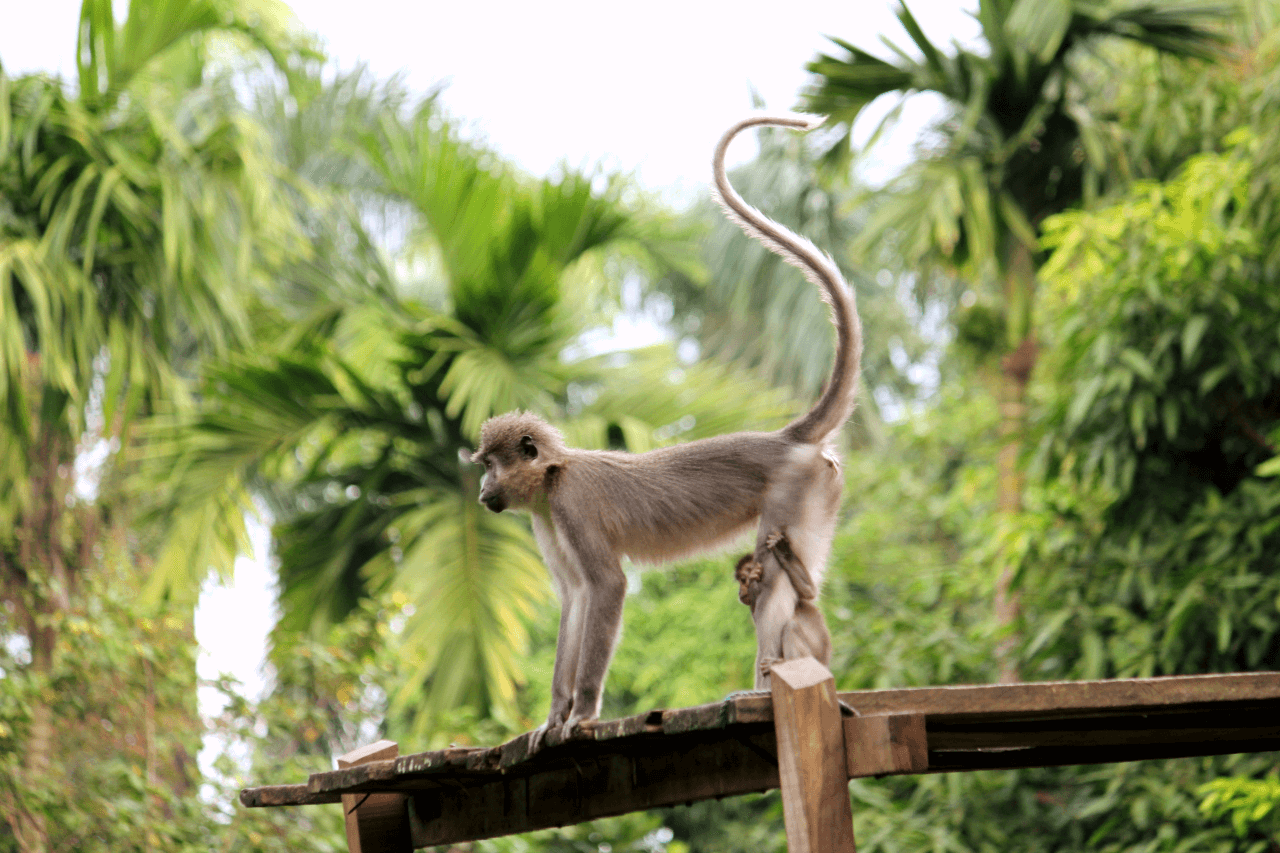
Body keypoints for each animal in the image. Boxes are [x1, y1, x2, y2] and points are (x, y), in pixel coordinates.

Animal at [466, 114, 862, 746]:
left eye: (490, 466)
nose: (483, 490)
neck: (553, 476)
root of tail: (784, 442)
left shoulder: (569, 504)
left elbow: (605, 588)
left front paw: (581, 714)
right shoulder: (547, 517)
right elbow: (574, 599)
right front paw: (552, 717)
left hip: (796, 491)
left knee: (771, 579)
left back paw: (762, 687)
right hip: (821, 491)